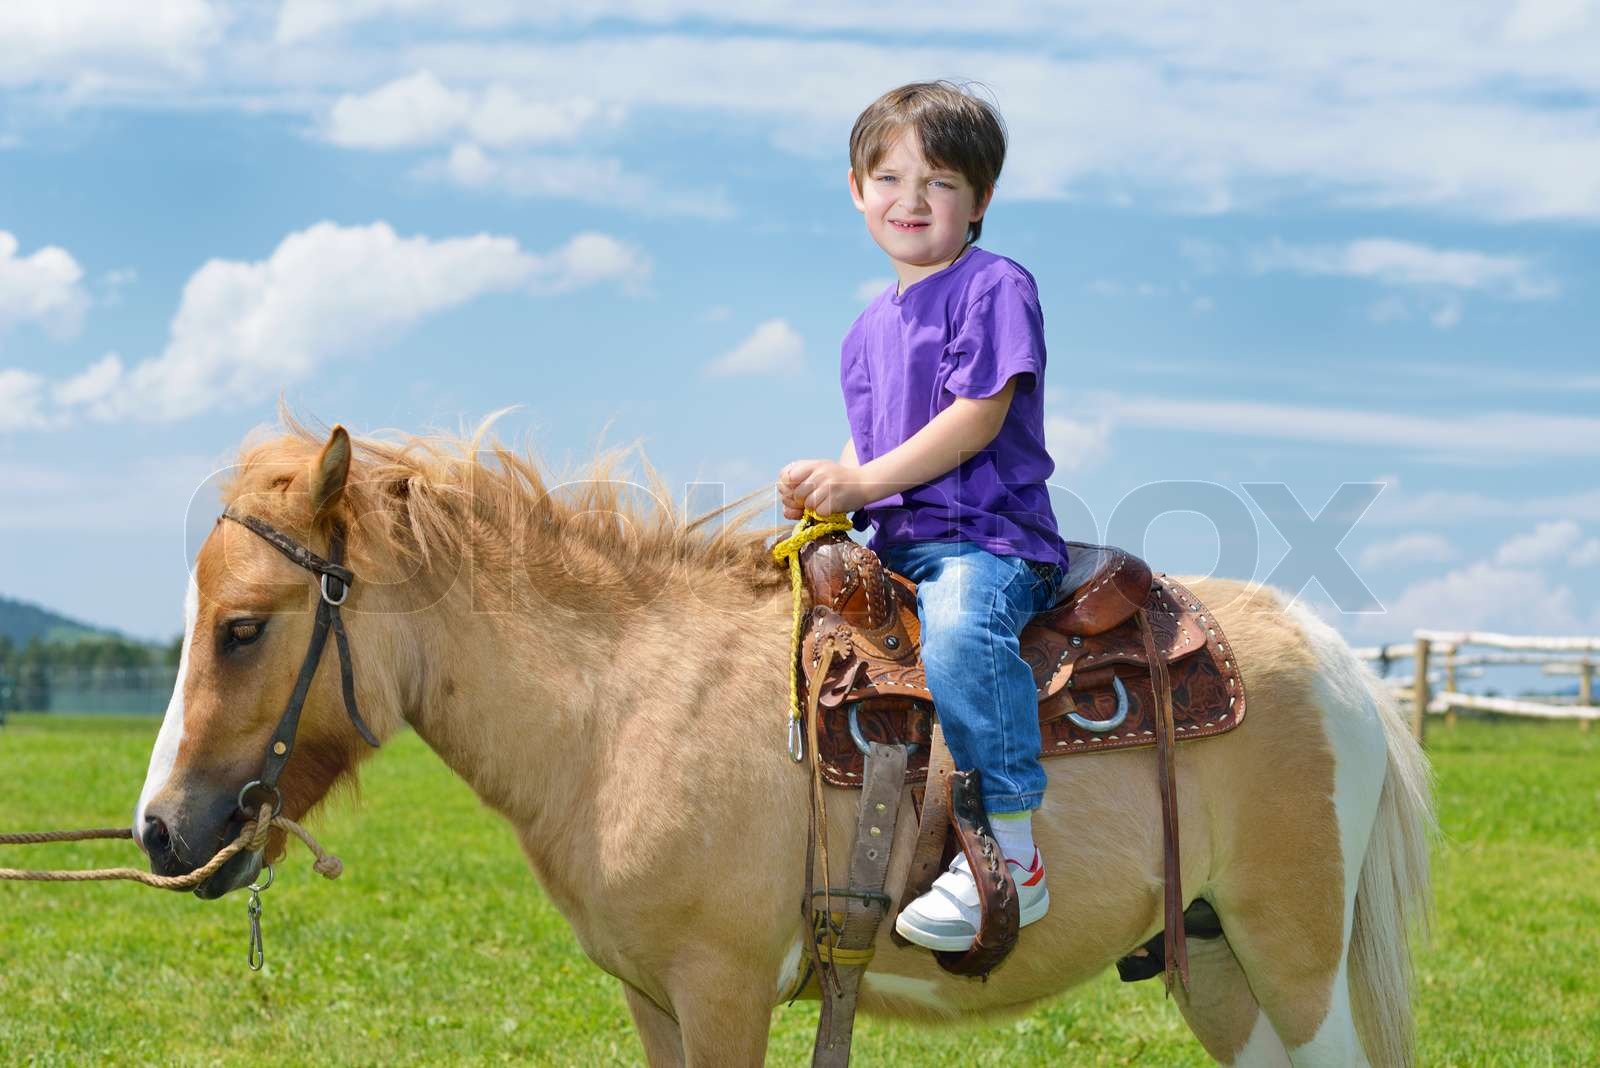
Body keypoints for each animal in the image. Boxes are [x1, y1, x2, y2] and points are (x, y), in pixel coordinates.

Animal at [131, 419, 1433, 1066]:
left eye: (242, 628)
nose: (158, 832)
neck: (624, 706)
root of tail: (1335, 662)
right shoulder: (651, 999)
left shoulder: (721, 991)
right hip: (1215, 967)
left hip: (1290, 962)